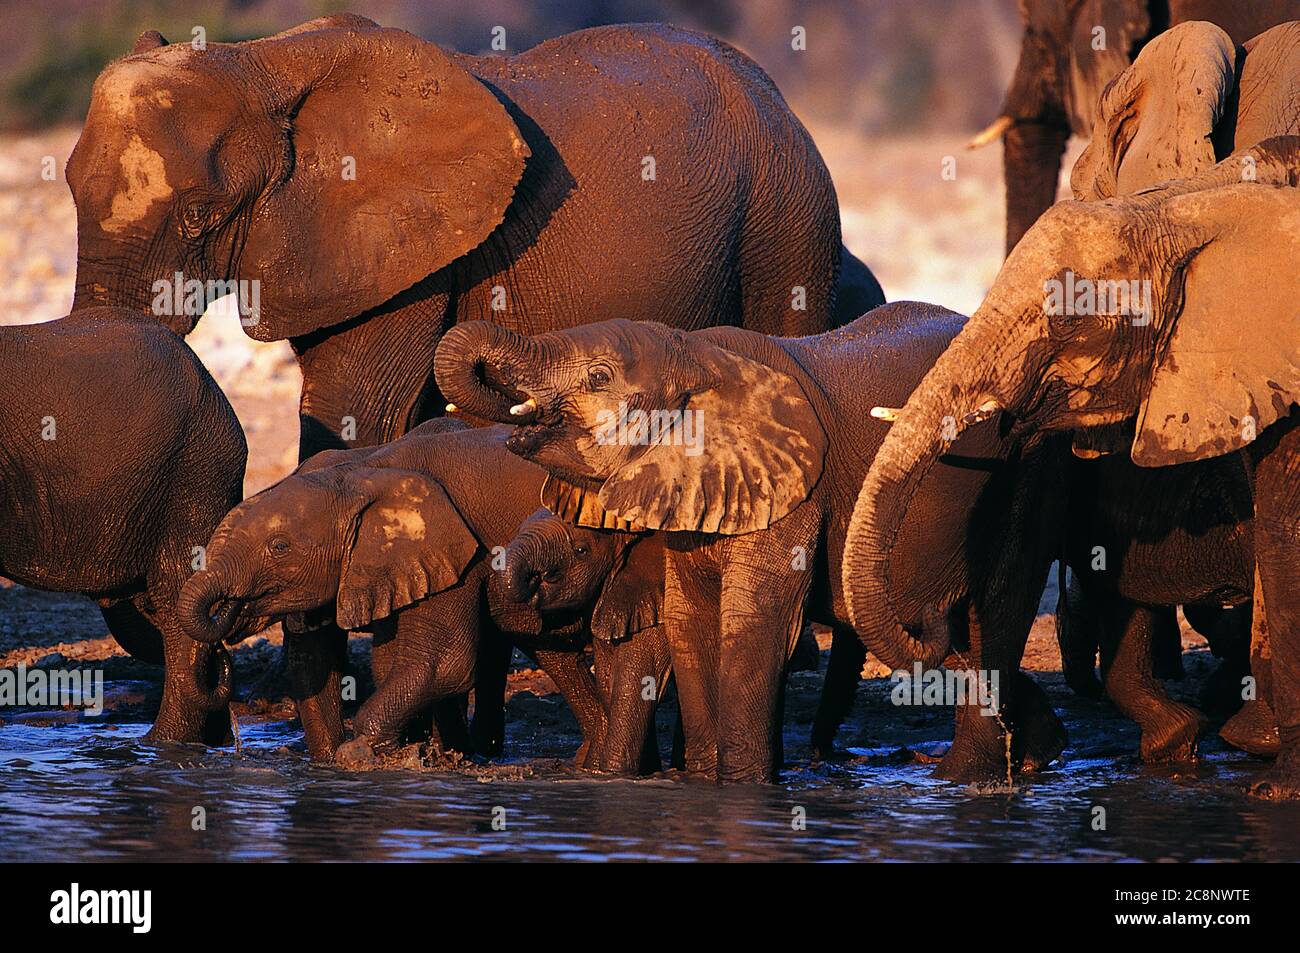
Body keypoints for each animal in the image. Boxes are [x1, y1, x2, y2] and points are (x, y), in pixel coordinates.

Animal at [66, 12, 880, 468]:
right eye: (66, 184)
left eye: (203, 214)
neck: (257, 59)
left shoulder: (404, 255)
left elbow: (355, 412)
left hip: (787, 217)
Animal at [501, 510, 672, 775]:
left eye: (581, 550)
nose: (538, 576)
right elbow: (609, 682)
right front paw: (595, 772)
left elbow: (638, 678)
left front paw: (613, 774)